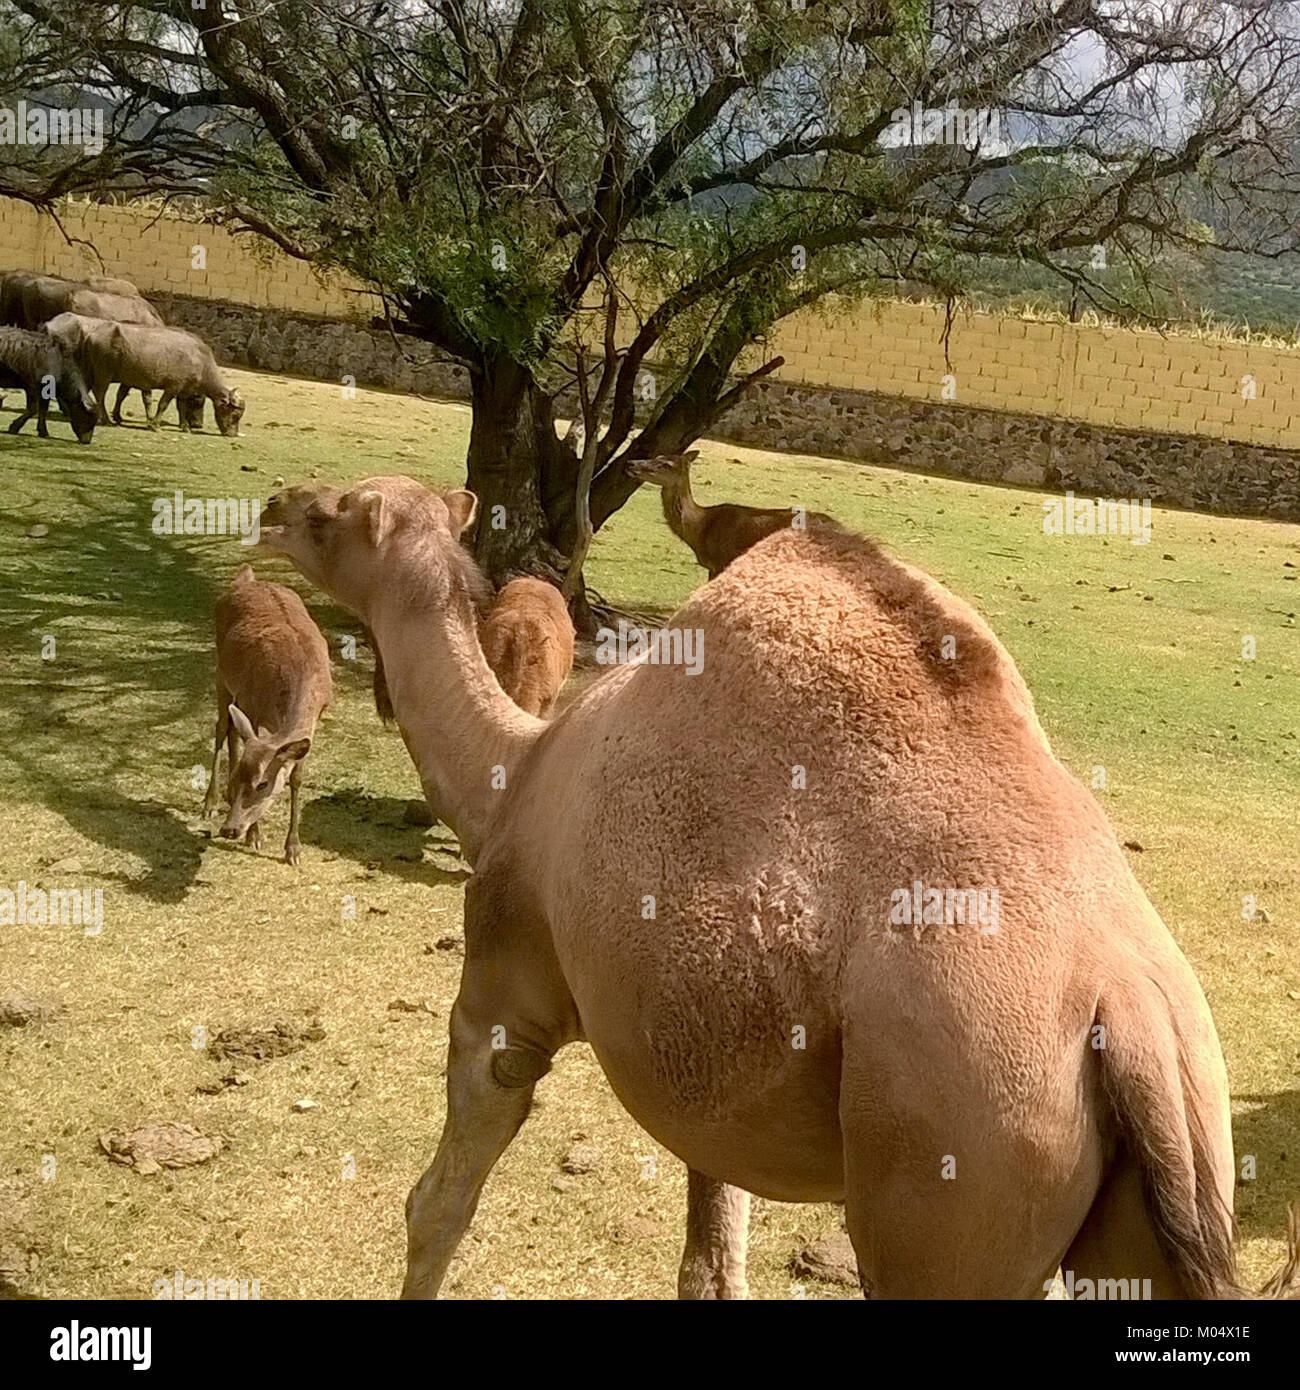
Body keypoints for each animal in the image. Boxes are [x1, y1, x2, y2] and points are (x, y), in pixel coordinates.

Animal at [259, 474, 1288, 1301]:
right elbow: (712, 1264)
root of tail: (1131, 1019)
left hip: (953, 1171)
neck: (517, 771)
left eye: (335, 510)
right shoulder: (713, 1079)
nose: (269, 503)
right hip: (1158, 1189)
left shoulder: (506, 993)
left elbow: (435, 1206)